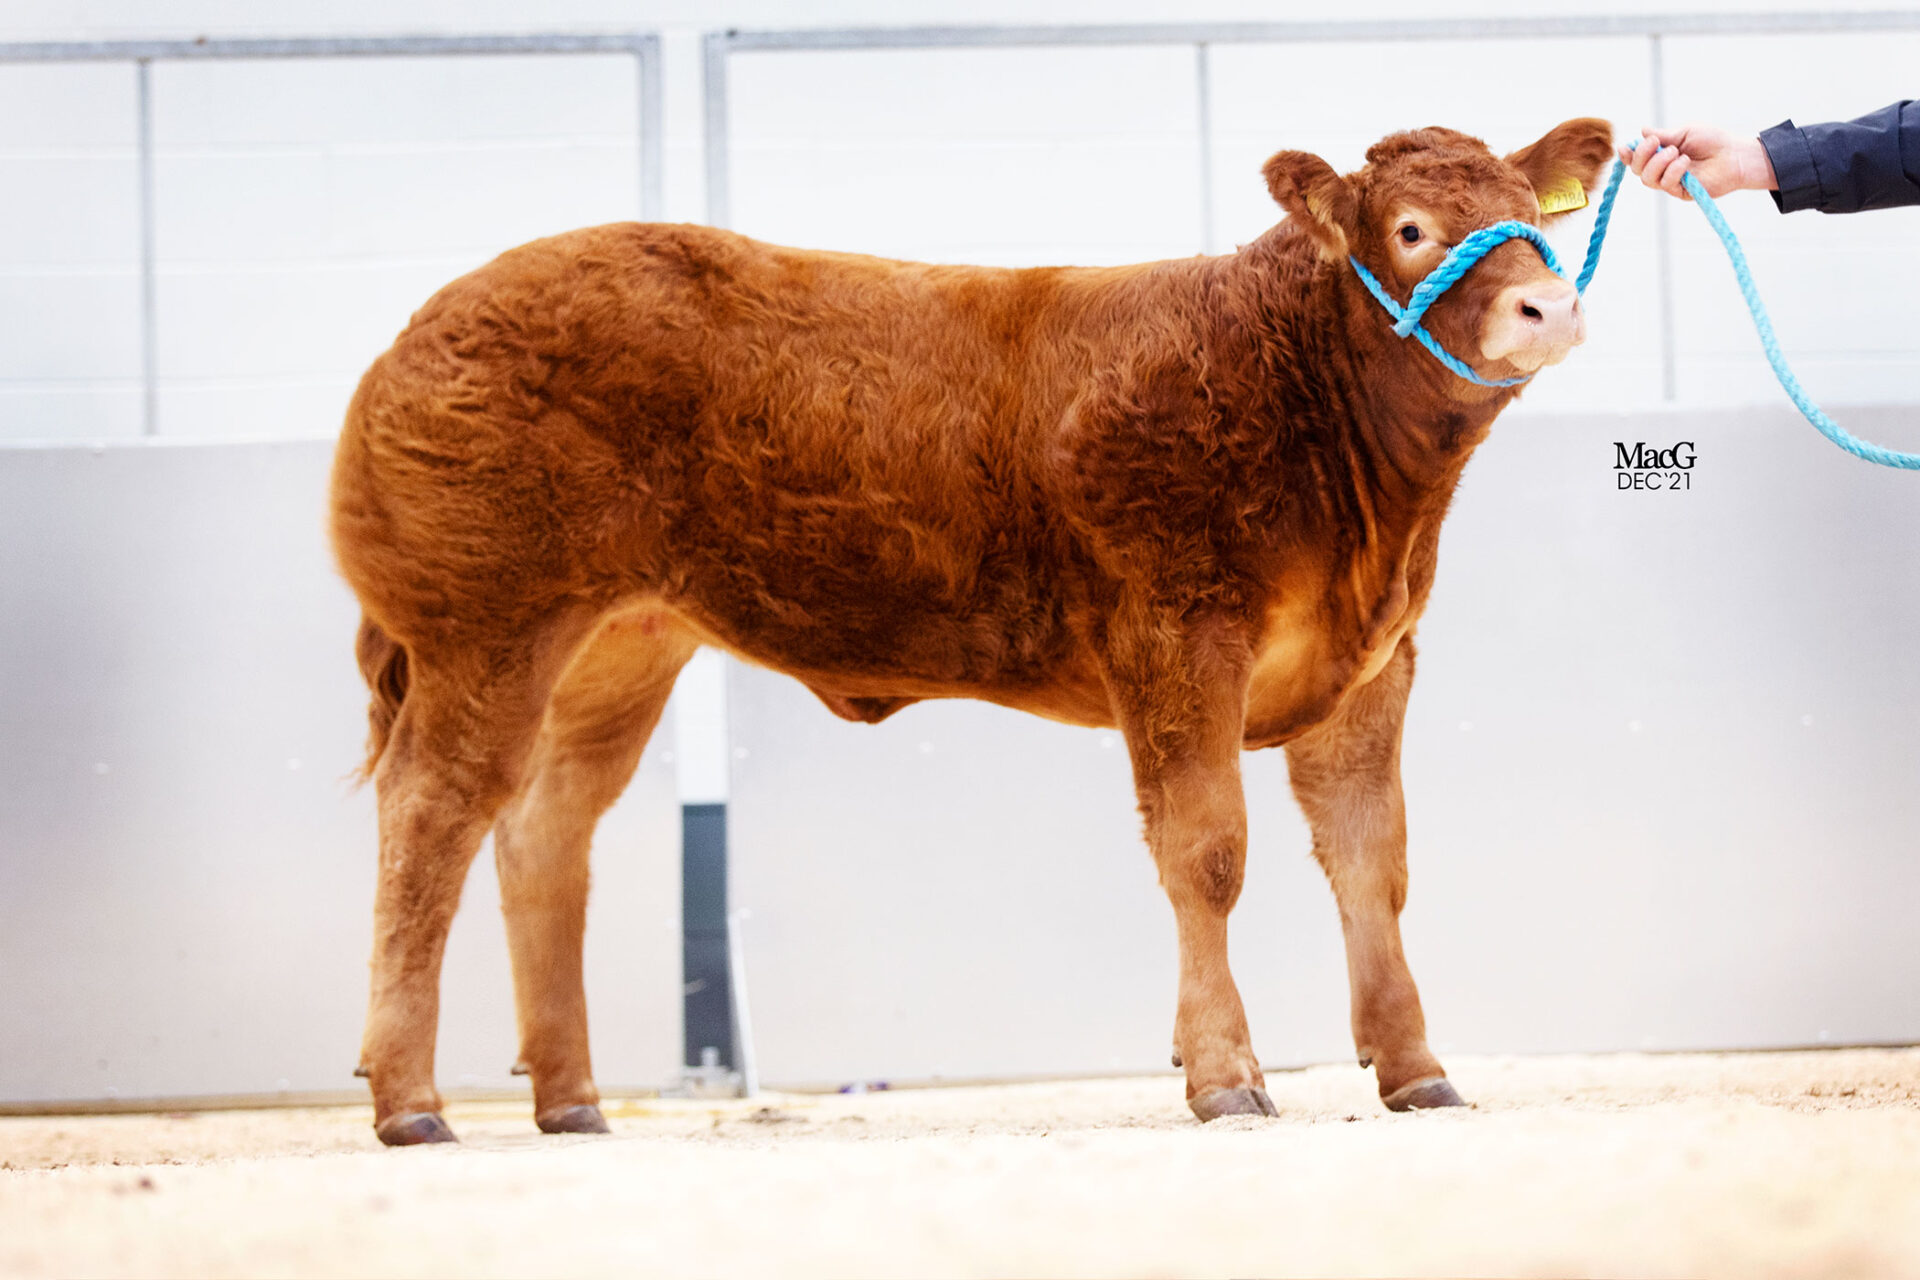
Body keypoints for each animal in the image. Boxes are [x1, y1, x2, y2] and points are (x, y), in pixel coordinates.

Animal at [329, 118, 1616, 1145]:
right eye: (1411, 228)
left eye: (1528, 211)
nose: (1548, 305)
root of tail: (426, 322)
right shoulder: (1176, 633)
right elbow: (1208, 852)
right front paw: (1226, 1074)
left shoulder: (1372, 660)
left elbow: (1372, 859)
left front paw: (1417, 1069)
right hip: (486, 627)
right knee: (432, 814)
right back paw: (410, 1100)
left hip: (618, 645)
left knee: (544, 831)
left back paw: (571, 1097)